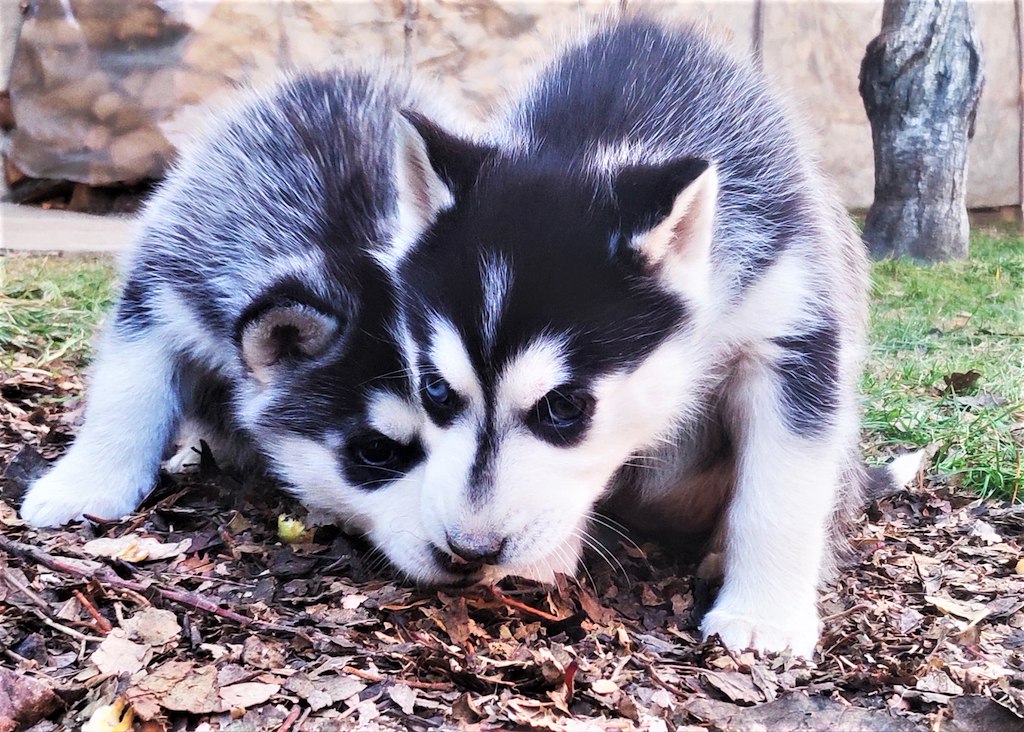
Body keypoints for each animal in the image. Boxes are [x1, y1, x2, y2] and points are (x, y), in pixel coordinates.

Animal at [389, 18, 913, 659]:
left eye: (565, 407)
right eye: (436, 391)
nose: (470, 547)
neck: (602, 132)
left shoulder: (793, 330)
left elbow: (780, 488)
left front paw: (763, 615)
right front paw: (539, 566)